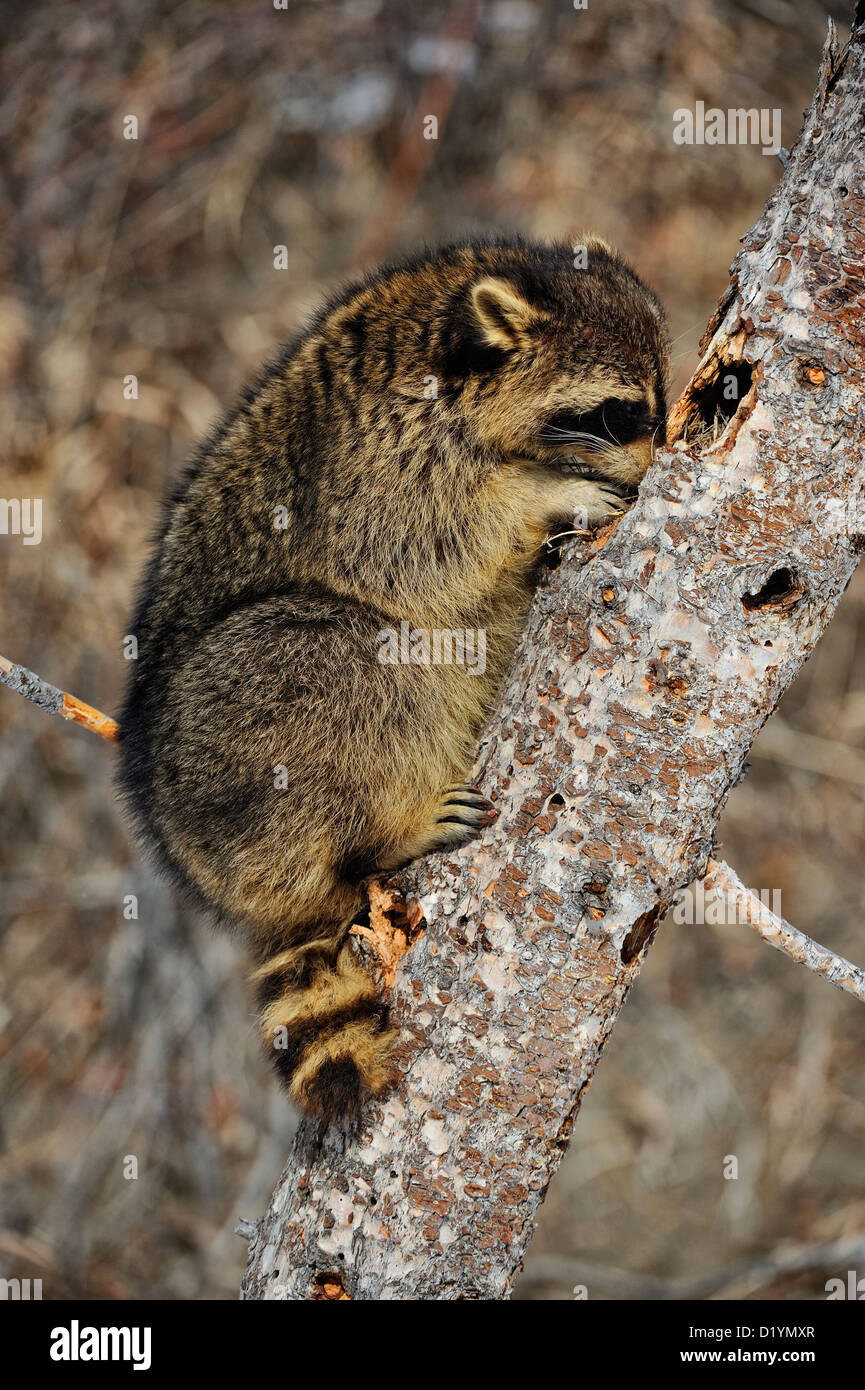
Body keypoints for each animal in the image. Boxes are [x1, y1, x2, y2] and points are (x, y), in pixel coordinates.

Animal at [118, 236, 669, 1120]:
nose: (662, 463)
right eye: (621, 413)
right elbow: (421, 545)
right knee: (344, 655)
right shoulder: (375, 460)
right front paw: (545, 495)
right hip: (227, 740)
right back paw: (386, 822)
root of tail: (211, 874)